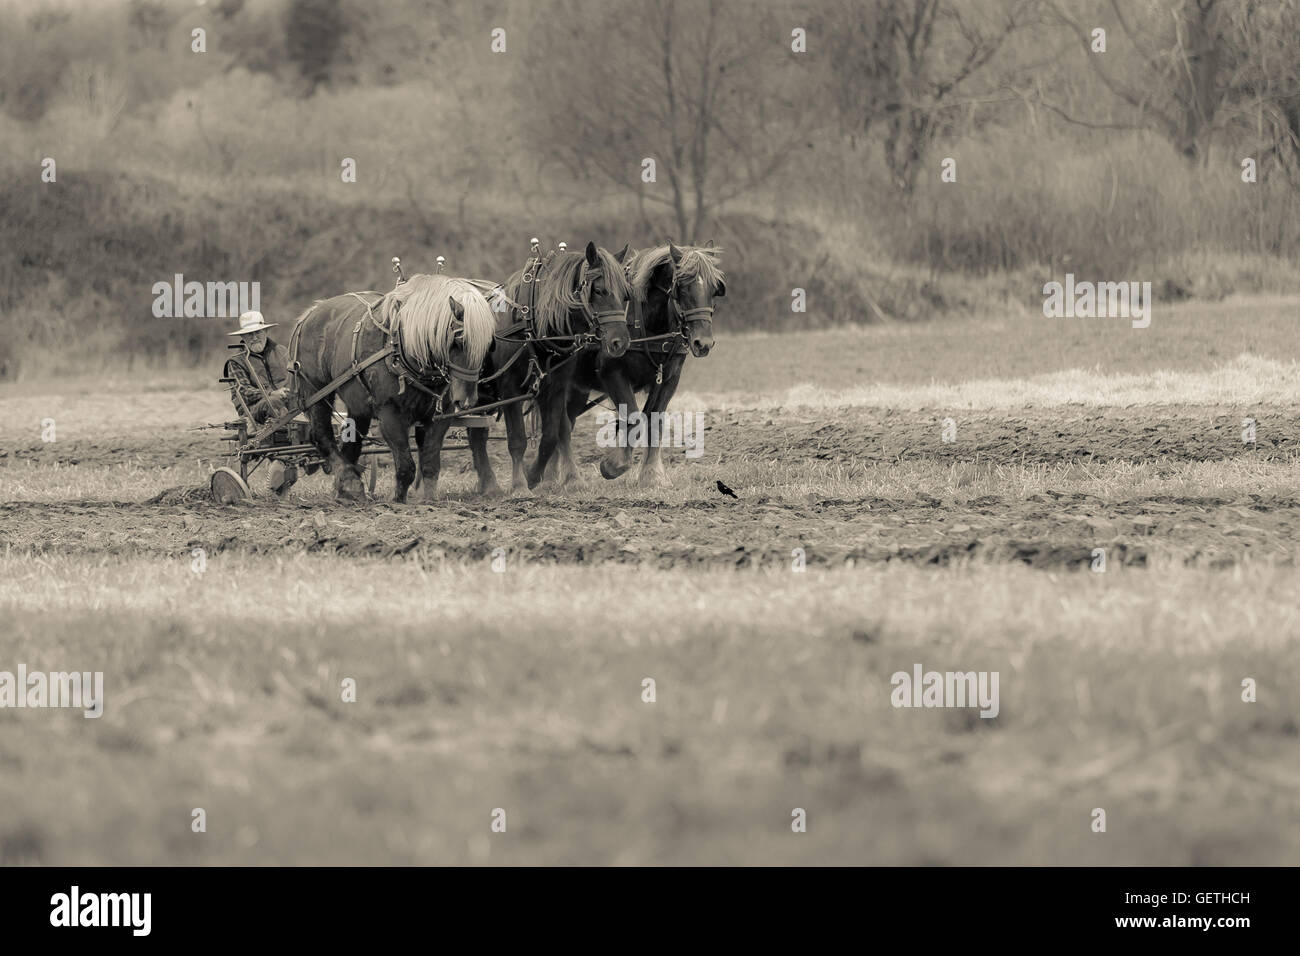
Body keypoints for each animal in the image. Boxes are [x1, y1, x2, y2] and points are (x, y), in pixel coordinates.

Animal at [288, 273, 496, 503]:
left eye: (489, 345)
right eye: (458, 342)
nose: (466, 401)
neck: (404, 349)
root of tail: (310, 313)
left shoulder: (439, 416)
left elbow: (430, 462)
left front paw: (428, 500)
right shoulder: (389, 412)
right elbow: (406, 466)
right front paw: (398, 501)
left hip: (358, 404)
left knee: (351, 442)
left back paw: (345, 490)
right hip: (315, 391)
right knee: (321, 434)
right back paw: (350, 483)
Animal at [465, 240, 632, 496]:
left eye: (625, 294)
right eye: (599, 290)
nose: (620, 342)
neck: (534, 326)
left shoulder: (555, 388)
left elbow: (551, 437)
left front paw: (533, 476)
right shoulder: (511, 390)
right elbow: (517, 440)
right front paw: (520, 485)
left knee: (476, 435)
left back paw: (488, 485)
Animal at [542, 242, 723, 487]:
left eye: (714, 289)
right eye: (683, 288)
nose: (703, 343)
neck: (648, 325)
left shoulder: (669, 379)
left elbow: (654, 421)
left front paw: (652, 475)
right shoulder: (612, 374)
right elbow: (634, 416)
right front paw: (614, 464)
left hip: (579, 390)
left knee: (563, 422)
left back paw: (550, 476)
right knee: (560, 425)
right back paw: (571, 479)